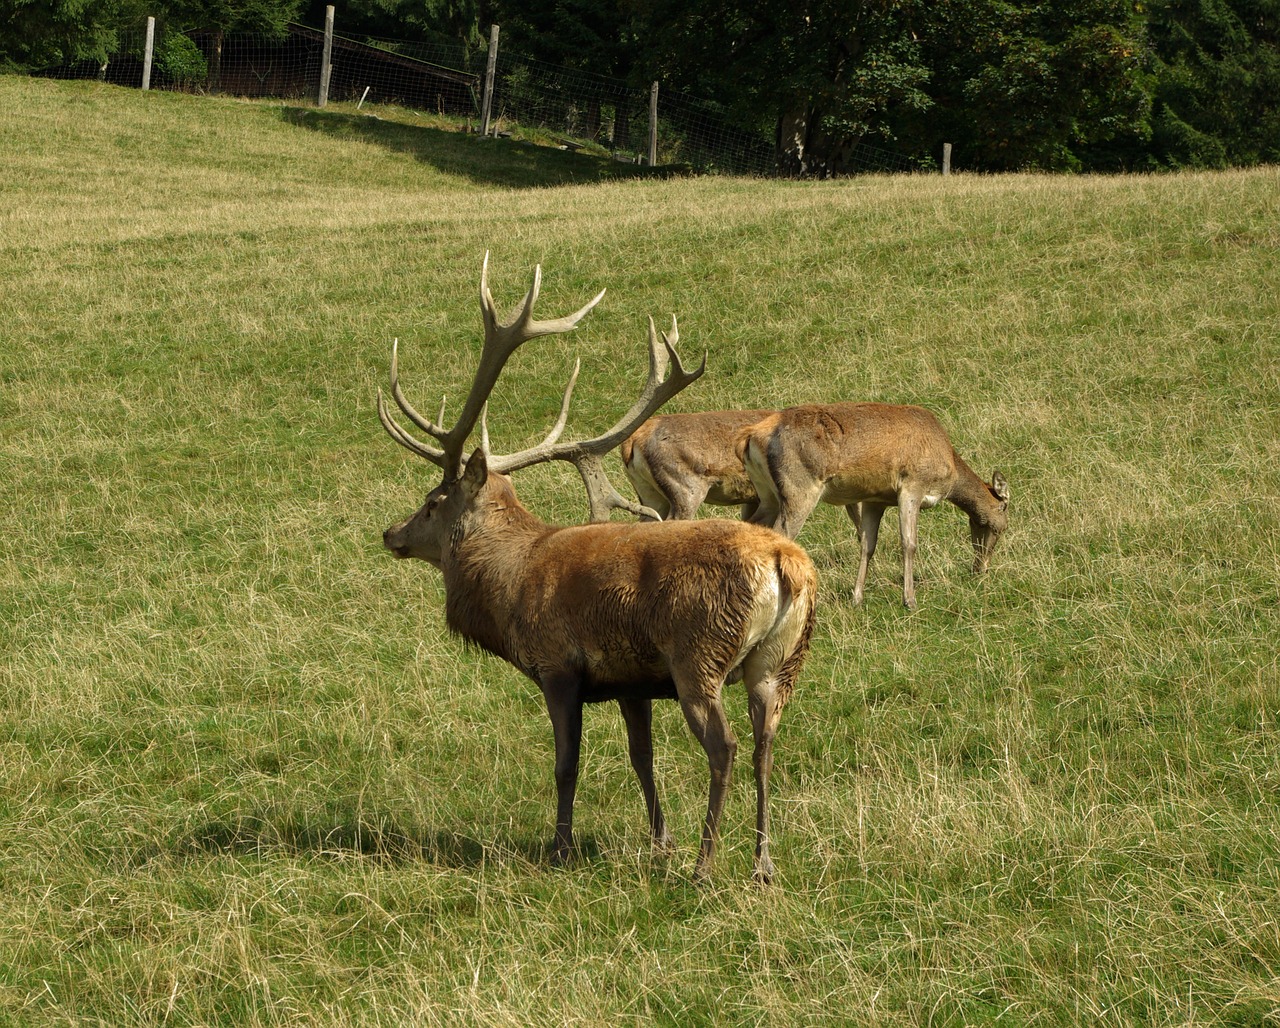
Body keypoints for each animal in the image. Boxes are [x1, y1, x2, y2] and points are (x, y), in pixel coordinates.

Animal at [739, 402, 1009, 610]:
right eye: (1003, 517)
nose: (981, 568)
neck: (949, 469)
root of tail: (750, 436)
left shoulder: (874, 499)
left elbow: (867, 545)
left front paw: (857, 598)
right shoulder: (912, 485)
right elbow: (909, 543)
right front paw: (910, 600)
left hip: (767, 495)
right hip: (799, 490)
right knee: (780, 536)